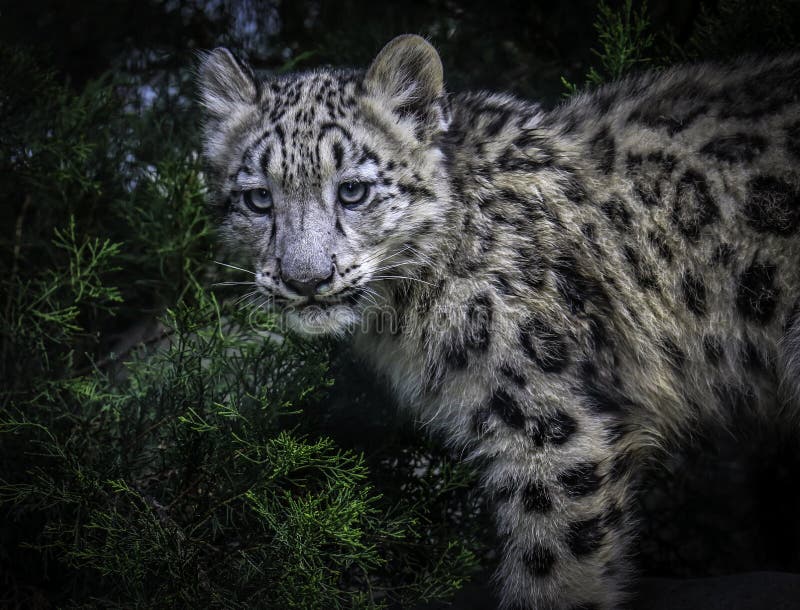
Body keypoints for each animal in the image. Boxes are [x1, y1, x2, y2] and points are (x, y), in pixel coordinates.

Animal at [197, 34, 800, 609]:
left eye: (352, 189)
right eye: (258, 199)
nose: (305, 279)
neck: (403, 319)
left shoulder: (552, 427)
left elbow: (553, 564)